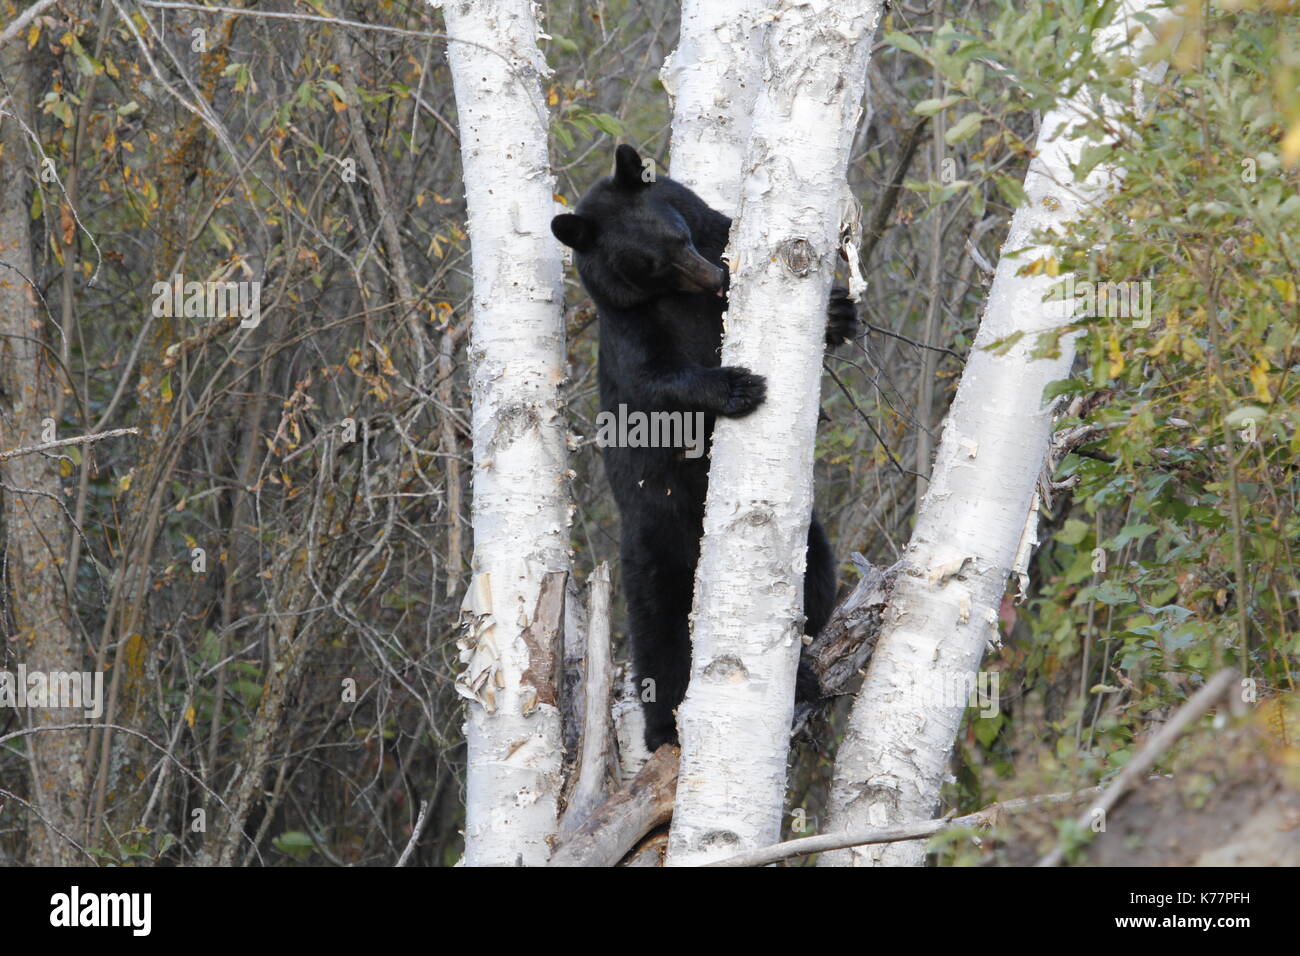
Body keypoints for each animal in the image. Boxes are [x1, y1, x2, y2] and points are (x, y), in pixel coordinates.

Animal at [552, 144, 858, 751]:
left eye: (681, 238)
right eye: (648, 265)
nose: (717, 278)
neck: (679, 299)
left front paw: (839, 313)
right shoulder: (629, 326)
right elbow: (655, 379)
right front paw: (737, 386)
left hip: (807, 543)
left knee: (815, 580)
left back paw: (803, 671)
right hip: (653, 547)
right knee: (660, 641)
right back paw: (663, 728)